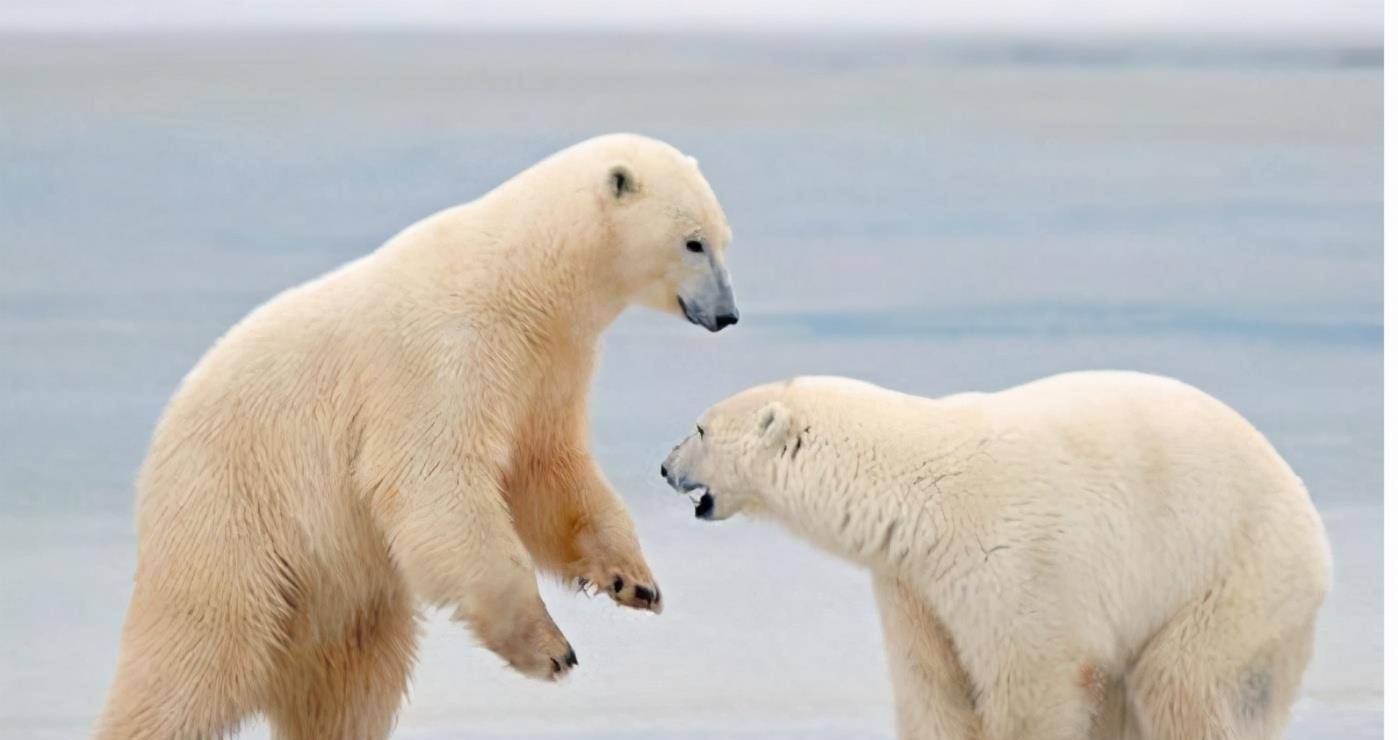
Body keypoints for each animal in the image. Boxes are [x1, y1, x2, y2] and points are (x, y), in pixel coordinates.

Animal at [98, 133, 738, 740]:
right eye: (693, 242)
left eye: (723, 239)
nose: (727, 315)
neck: (524, 281)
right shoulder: (445, 354)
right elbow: (436, 481)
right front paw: (550, 647)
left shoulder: (547, 367)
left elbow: (545, 472)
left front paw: (632, 579)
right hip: (234, 515)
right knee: (200, 658)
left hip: (339, 594)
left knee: (349, 687)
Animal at [661, 372, 1330, 740]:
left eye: (699, 428)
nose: (664, 466)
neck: (915, 485)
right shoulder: (913, 581)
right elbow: (933, 684)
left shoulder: (1017, 562)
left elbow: (1030, 683)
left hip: (1234, 576)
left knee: (1186, 685)